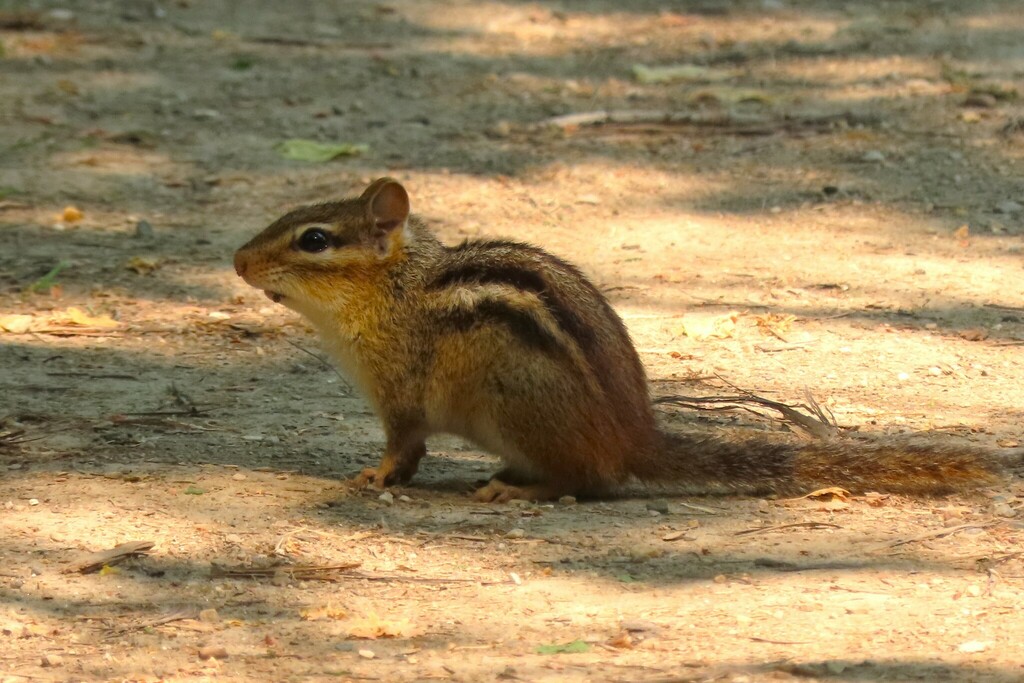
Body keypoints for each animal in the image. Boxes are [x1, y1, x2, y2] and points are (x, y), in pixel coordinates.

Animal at [234, 178, 1012, 502]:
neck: (394, 291)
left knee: (587, 481)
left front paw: (375, 477)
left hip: (514, 404)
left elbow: (403, 447)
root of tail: (636, 435)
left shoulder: (399, 391)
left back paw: (519, 489)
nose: (237, 261)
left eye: (313, 239)